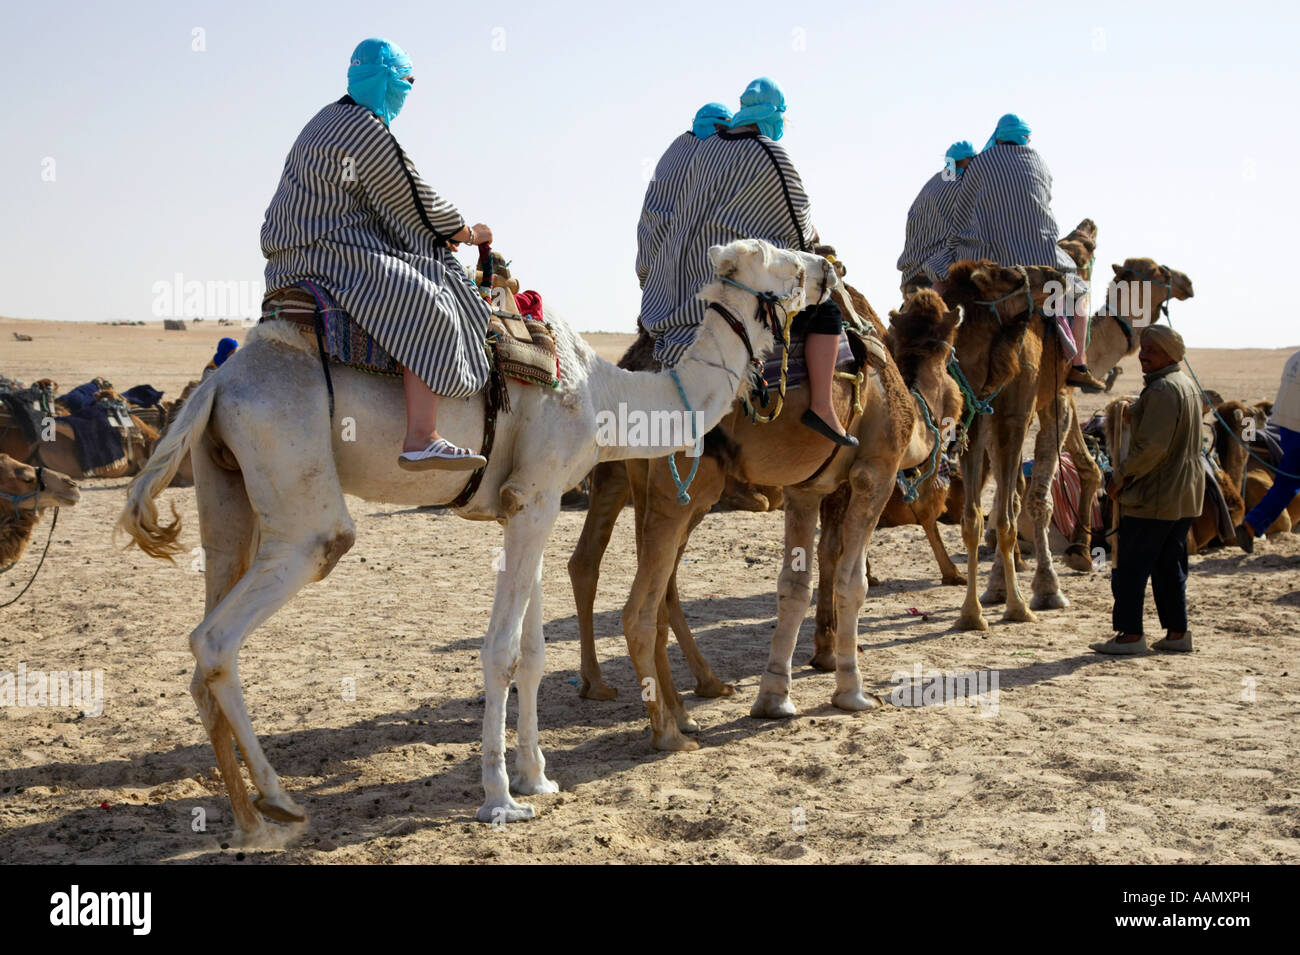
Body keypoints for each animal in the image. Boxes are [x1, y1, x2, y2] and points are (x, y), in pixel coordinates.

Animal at [117, 239, 826, 839]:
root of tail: (216, 383)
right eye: (784, 261)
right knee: (219, 636)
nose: (827, 266)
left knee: (206, 634)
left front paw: (539, 779)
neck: (604, 393)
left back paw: (255, 813)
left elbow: (534, 654)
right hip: (302, 509)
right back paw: (273, 805)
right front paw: (499, 799)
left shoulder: (530, 504)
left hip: (226, 496)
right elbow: (500, 652)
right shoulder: (535, 497)